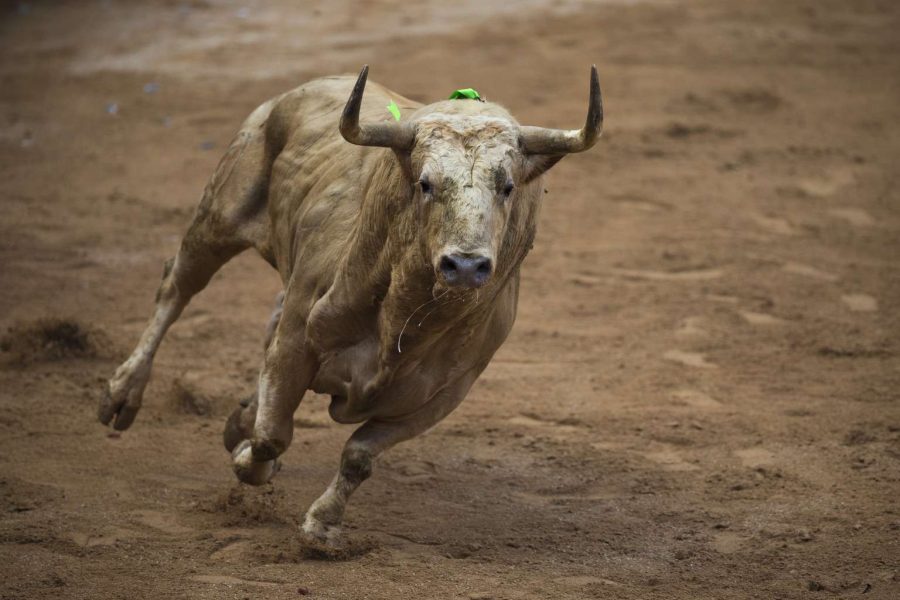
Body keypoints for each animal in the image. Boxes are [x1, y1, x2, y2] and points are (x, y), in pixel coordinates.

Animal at [98, 65, 603, 543]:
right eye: (425, 184)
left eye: (508, 186)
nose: (464, 265)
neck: (404, 322)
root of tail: (293, 95)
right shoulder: (295, 345)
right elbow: (272, 437)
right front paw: (248, 462)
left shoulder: (437, 398)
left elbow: (358, 456)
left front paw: (321, 526)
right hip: (219, 215)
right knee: (177, 288)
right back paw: (121, 395)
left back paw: (234, 416)